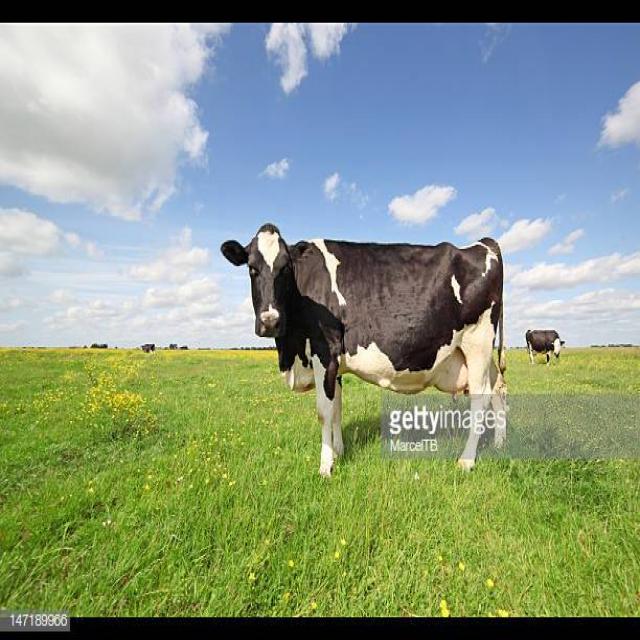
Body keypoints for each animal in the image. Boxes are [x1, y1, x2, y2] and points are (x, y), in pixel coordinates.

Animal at [221, 223, 507, 477]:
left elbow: (324, 412)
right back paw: (499, 445)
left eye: (285, 269)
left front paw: (325, 466)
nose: (270, 321)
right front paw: (339, 452)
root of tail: (484, 244)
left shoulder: (325, 350)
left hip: (478, 340)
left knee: (481, 398)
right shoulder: (334, 363)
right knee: (499, 390)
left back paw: (467, 460)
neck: (291, 352)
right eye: (252, 269)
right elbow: (337, 407)